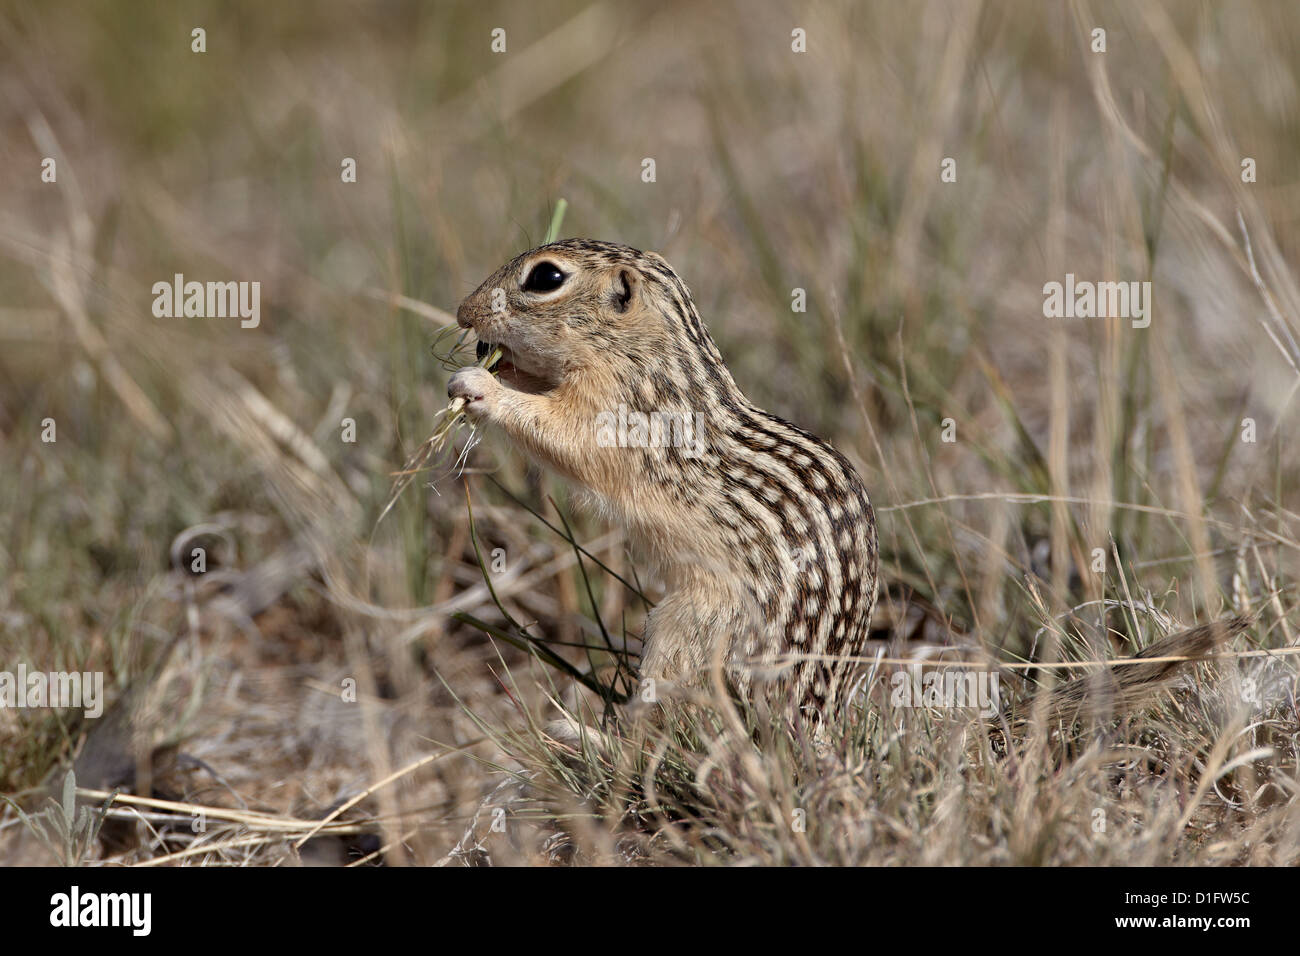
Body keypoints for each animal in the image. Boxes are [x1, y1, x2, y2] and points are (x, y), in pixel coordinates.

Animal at [449, 238, 878, 719]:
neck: (645, 357)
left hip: (683, 631)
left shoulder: (609, 414)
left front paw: (480, 386)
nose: (464, 312)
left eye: (546, 278)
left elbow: (560, 433)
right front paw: (496, 367)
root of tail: (810, 715)